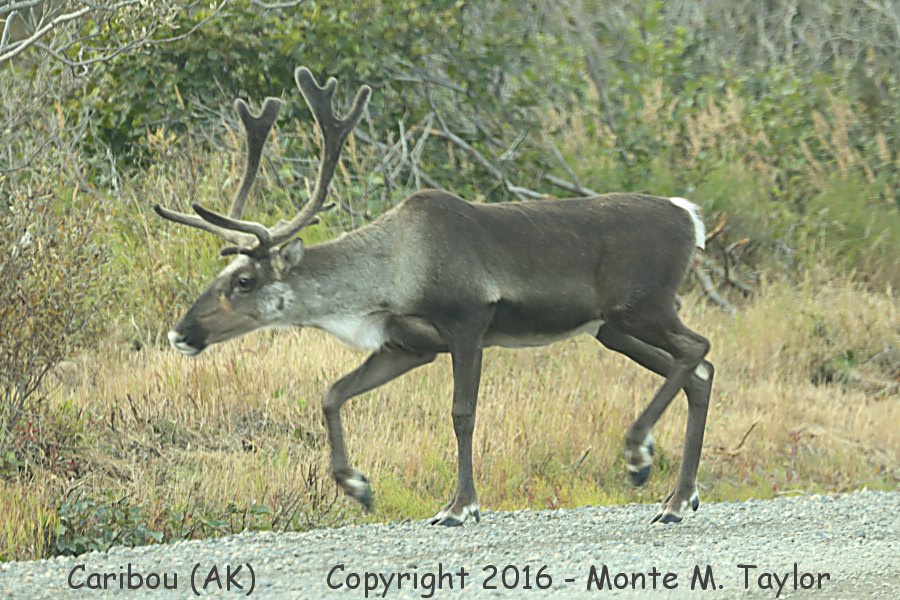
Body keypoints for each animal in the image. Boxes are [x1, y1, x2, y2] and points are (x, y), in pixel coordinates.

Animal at [155, 66, 714, 526]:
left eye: (243, 281)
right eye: (224, 272)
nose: (181, 333)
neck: (392, 275)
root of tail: (691, 216)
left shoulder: (467, 323)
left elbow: (462, 414)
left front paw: (460, 506)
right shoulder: (408, 345)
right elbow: (333, 394)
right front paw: (357, 486)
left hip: (644, 306)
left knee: (698, 349)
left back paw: (640, 456)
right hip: (612, 328)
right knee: (697, 372)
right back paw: (678, 497)